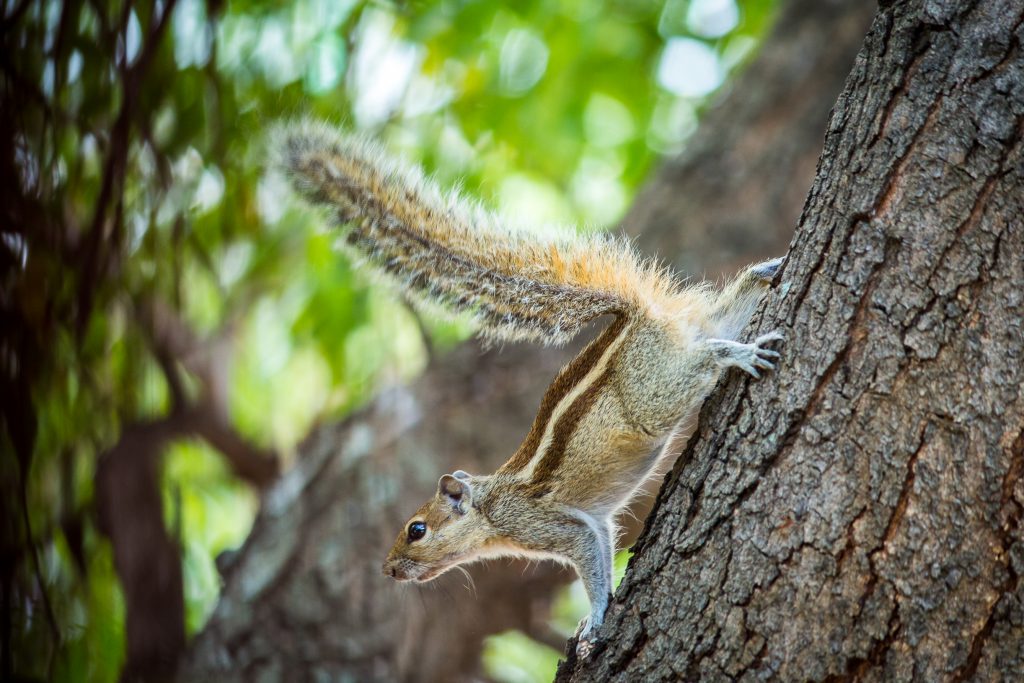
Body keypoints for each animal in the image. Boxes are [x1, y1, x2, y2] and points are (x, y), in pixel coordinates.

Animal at [275, 120, 784, 657]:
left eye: (416, 529)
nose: (388, 570)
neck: (489, 508)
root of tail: (641, 318)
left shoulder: (547, 524)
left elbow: (588, 557)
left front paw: (595, 619)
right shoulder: (593, 522)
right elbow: (603, 542)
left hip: (654, 394)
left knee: (705, 362)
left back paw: (739, 355)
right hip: (704, 329)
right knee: (736, 297)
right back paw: (769, 269)